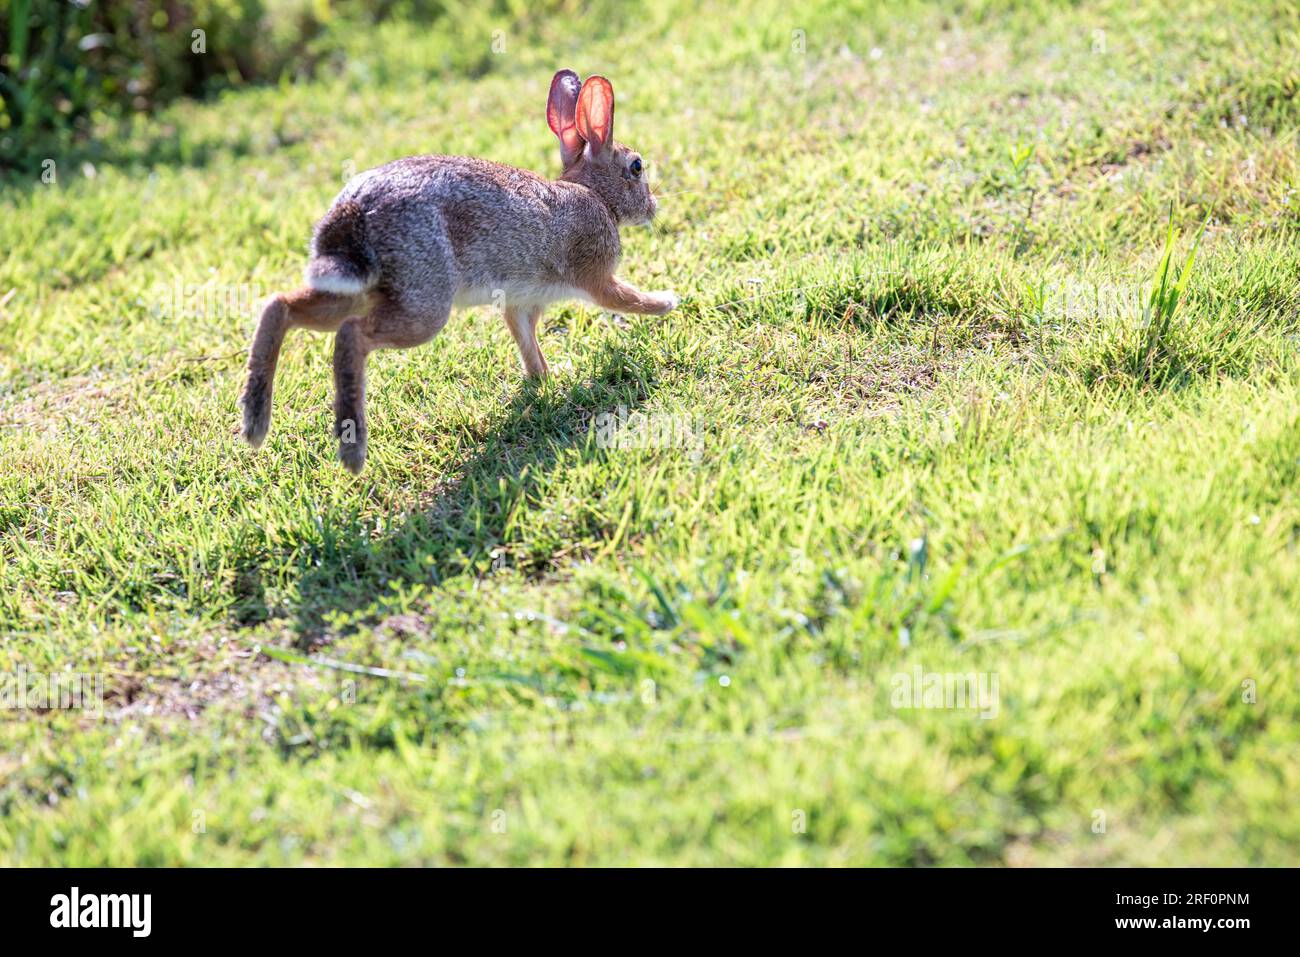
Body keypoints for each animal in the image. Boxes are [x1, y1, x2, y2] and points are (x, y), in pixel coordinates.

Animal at [238, 69, 677, 473]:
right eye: (637, 167)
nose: (653, 206)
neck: (596, 195)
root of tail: (357, 209)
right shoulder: (596, 276)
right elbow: (626, 299)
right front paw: (667, 302)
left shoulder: (522, 303)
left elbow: (527, 341)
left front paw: (544, 378)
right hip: (424, 306)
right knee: (351, 336)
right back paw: (351, 448)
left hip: (358, 289)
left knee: (281, 307)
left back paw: (255, 421)